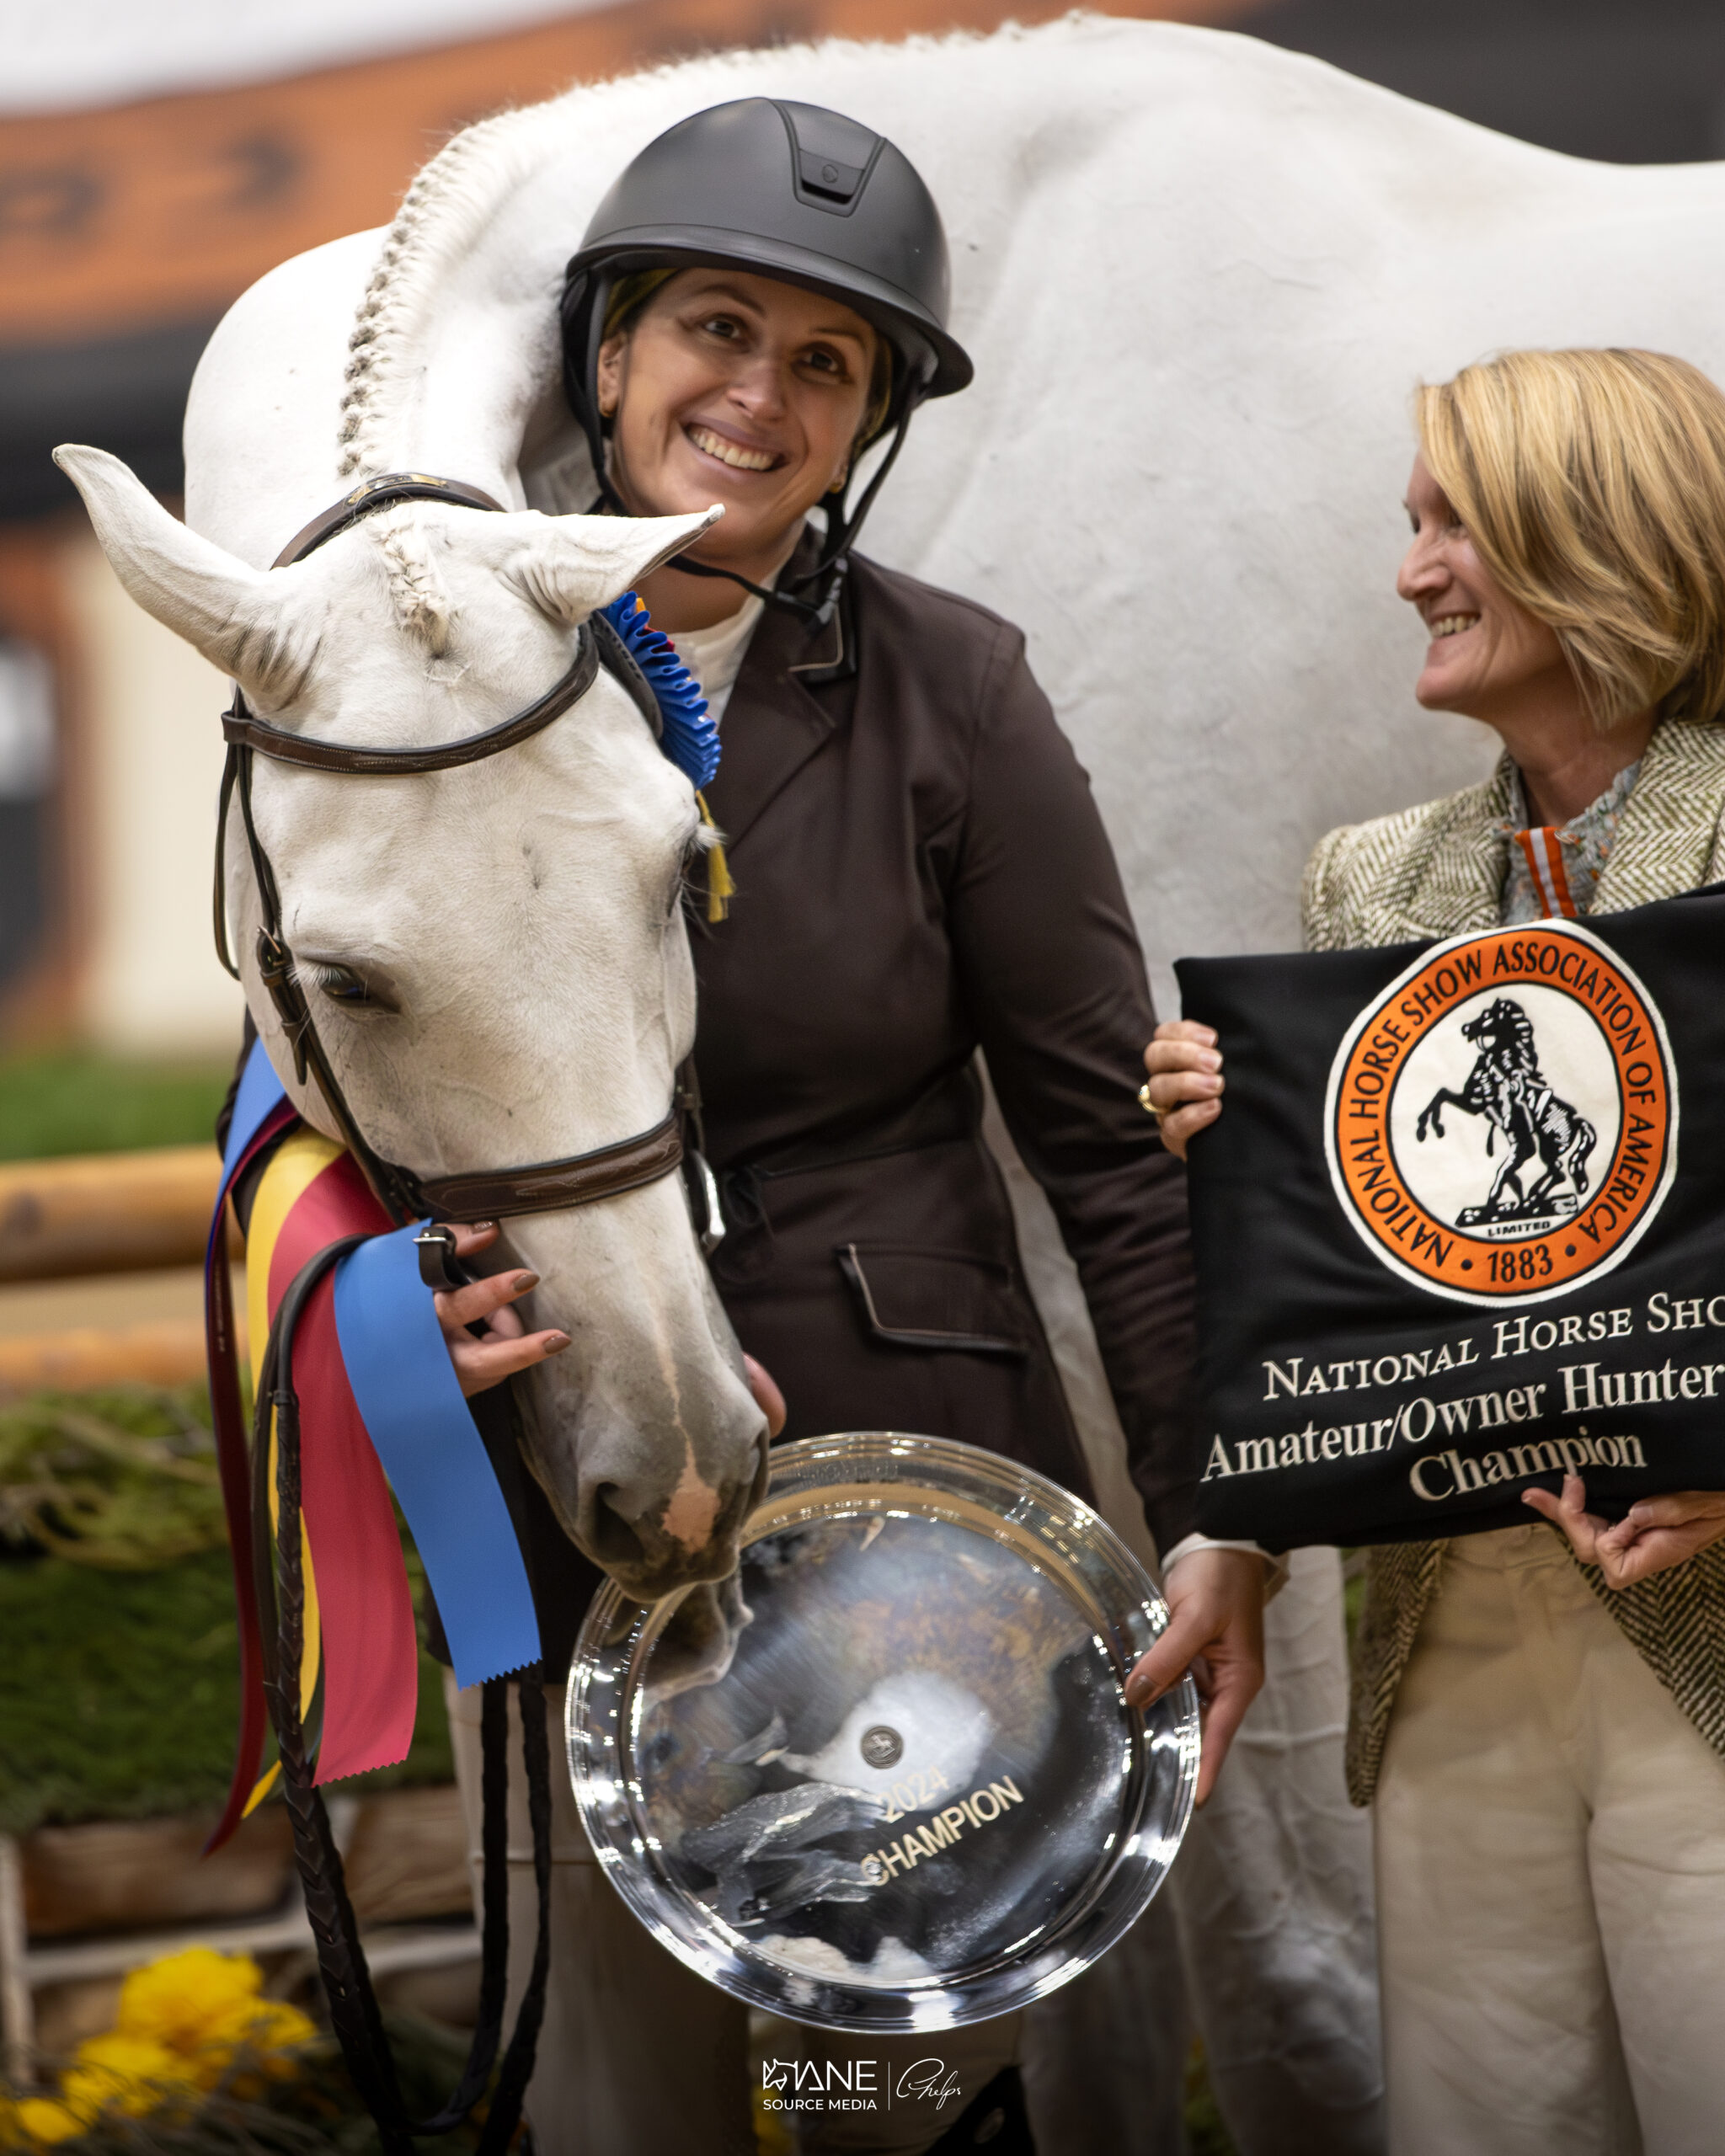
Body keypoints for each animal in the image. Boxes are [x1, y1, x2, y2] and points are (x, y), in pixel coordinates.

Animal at [1417, 997, 1597, 1222]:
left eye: (1486, 1015)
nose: (1466, 1028)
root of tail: (1575, 1120)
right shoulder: (1473, 1102)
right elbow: (1441, 1095)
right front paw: (1430, 1127)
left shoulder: (1482, 1104)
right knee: (1554, 1172)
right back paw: (1528, 1199)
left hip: (1549, 1146)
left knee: (1557, 1171)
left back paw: (1529, 1199)